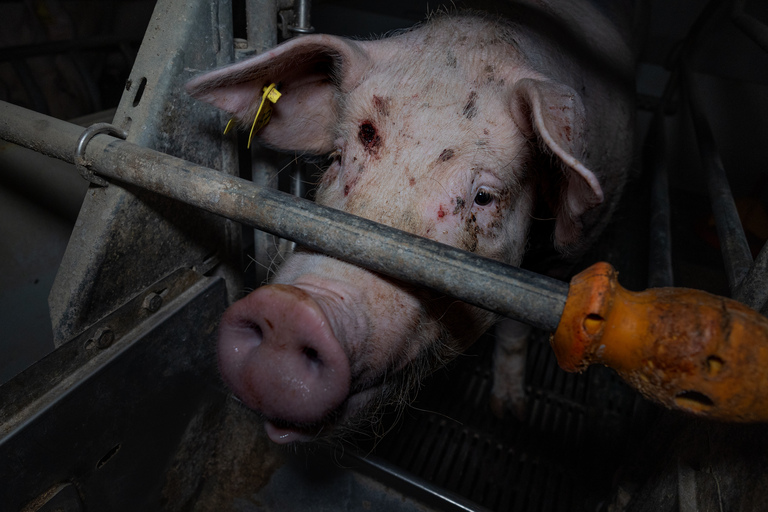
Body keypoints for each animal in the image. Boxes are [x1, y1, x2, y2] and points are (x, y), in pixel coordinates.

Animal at [186, 1, 634, 443]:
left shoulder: (568, 256)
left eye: (483, 197)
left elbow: (516, 324)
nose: (291, 310)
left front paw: (508, 415)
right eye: (336, 158)